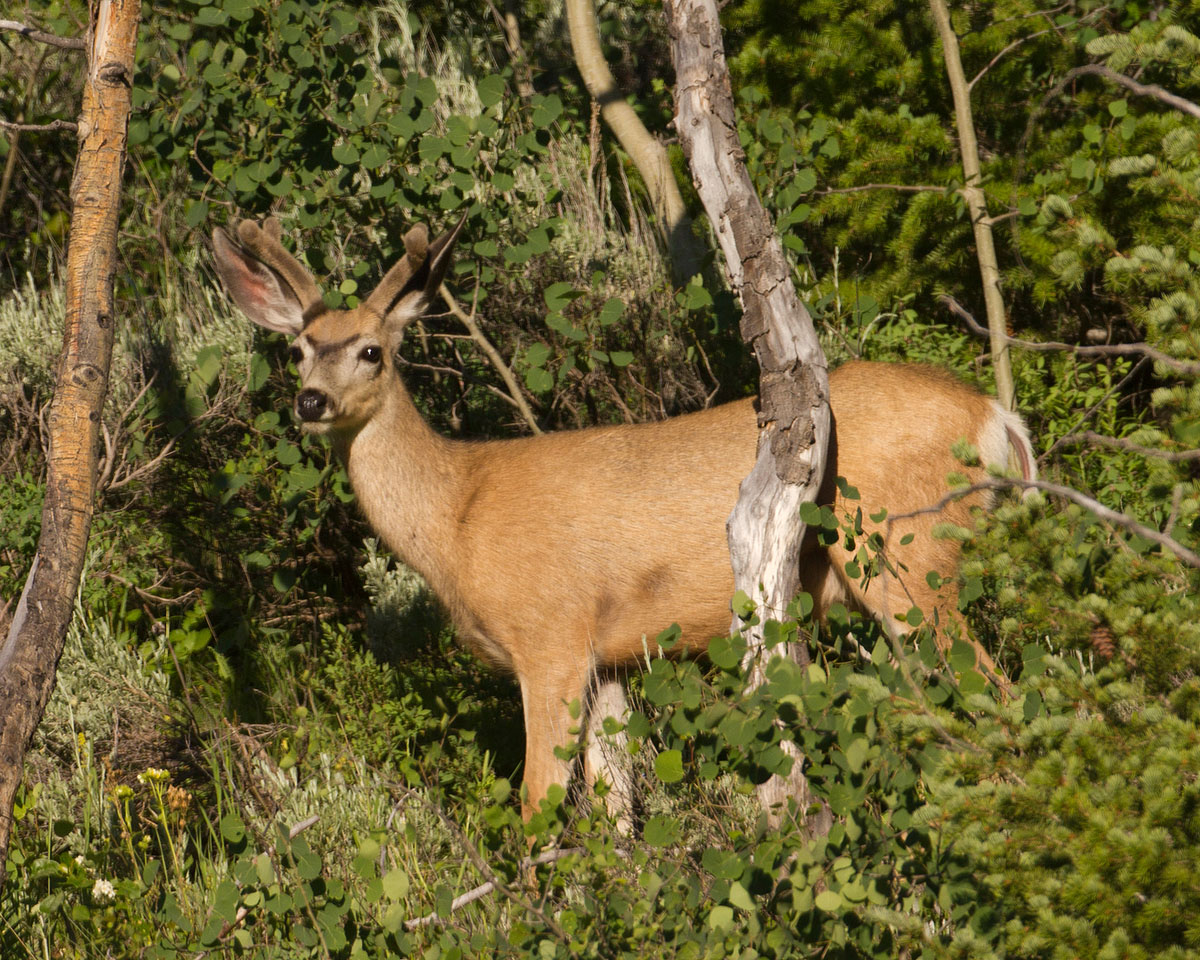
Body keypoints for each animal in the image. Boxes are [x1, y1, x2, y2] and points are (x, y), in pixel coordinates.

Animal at [211, 215, 1035, 823]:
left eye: (371, 352)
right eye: (298, 350)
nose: (309, 401)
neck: (456, 518)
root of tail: (996, 418)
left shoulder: (551, 637)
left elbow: (538, 803)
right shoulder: (609, 658)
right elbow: (615, 803)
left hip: (907, 551)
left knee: (998, 693)